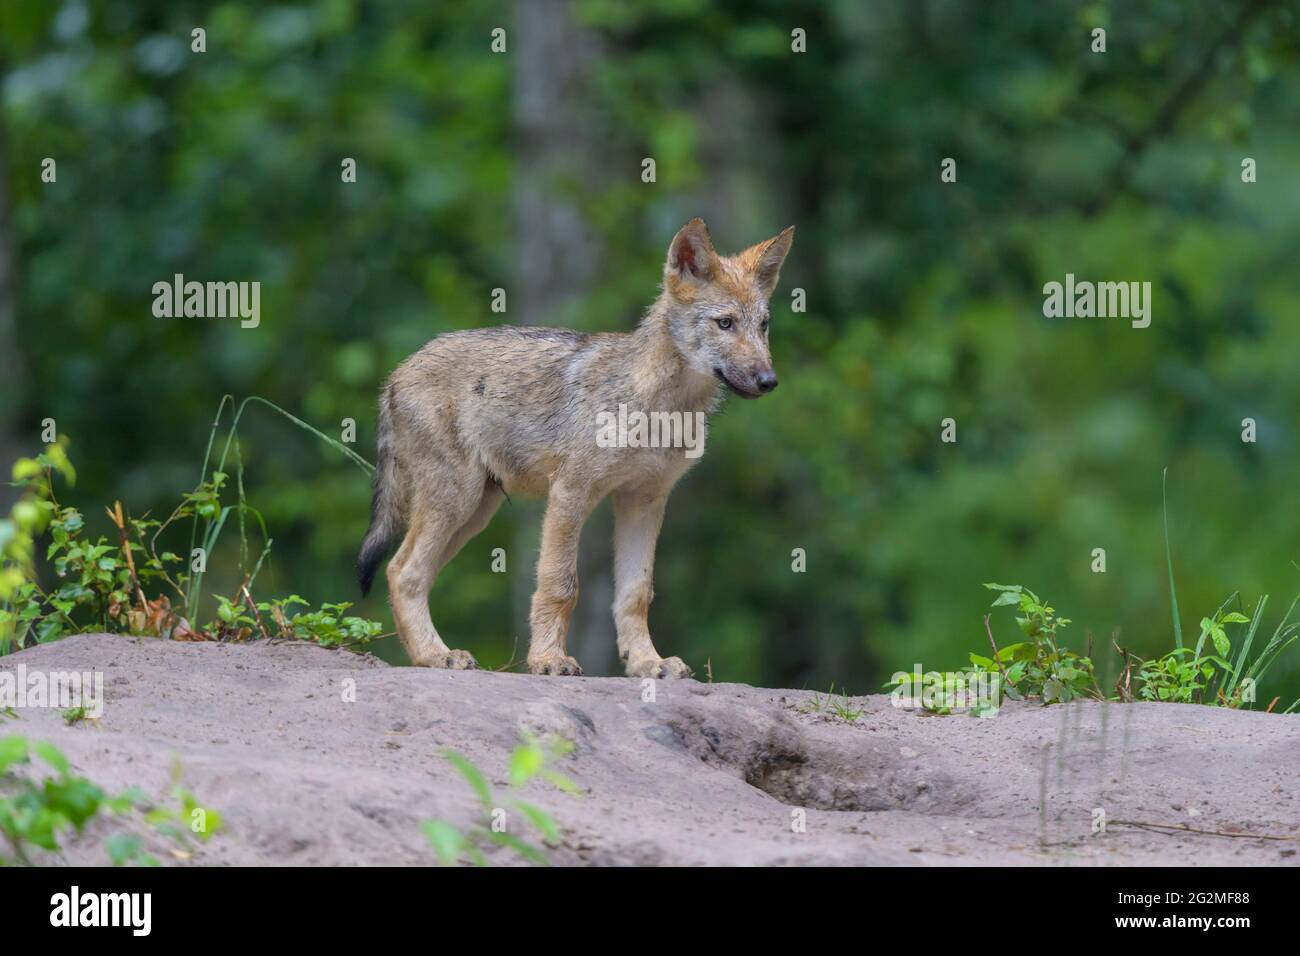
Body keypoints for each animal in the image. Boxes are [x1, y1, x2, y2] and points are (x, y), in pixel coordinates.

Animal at [357, 218, 794, 677]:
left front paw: (647, 663)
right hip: (457, 500)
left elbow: (636, 594)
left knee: (408, 573)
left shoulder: (645, 500)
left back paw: (431, 654)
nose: (768, 380)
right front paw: (548, 660)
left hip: (474, 514)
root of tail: (396, 374)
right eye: (725, 323)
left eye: (763, 325)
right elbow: (560, 584)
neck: (661, 405)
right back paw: (435, 655)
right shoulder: (570, 492)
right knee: (402, 571)